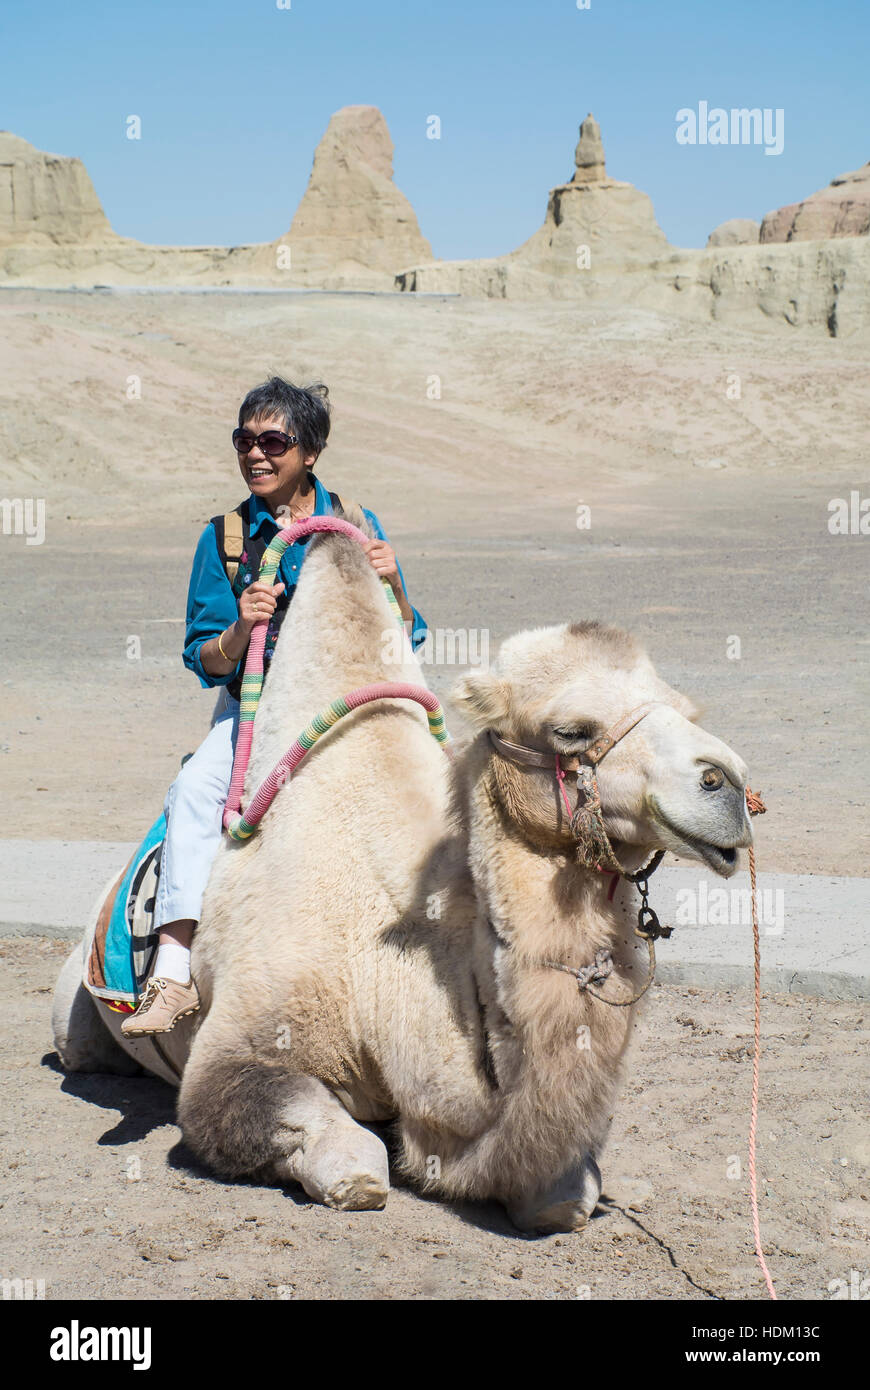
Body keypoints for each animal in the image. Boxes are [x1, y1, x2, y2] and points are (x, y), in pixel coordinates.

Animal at [52, 519, 752, 1233]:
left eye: (684, 707)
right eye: (571, 730)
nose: (728, 785)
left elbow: (565, 1197)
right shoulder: (241, 1048)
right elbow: (354, 1161)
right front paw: (354, 1175)